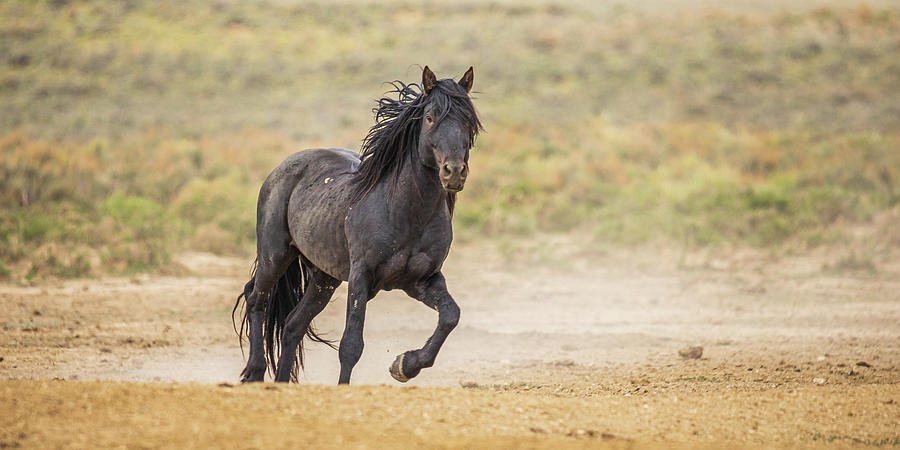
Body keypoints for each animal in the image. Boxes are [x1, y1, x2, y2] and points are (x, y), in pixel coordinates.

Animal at [233, 66, 482, 384]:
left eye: (469, 121)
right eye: (430, 117)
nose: (454, 172)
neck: (407, 215)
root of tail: (283, 167)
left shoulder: (422, 280)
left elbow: (451, 316)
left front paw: (404, 365)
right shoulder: (361, 276)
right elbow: (351, 345)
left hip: (324, 279)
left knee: (292, 325)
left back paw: (280, 383)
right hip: (275, 255)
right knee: (256, 300)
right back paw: (254, 372)